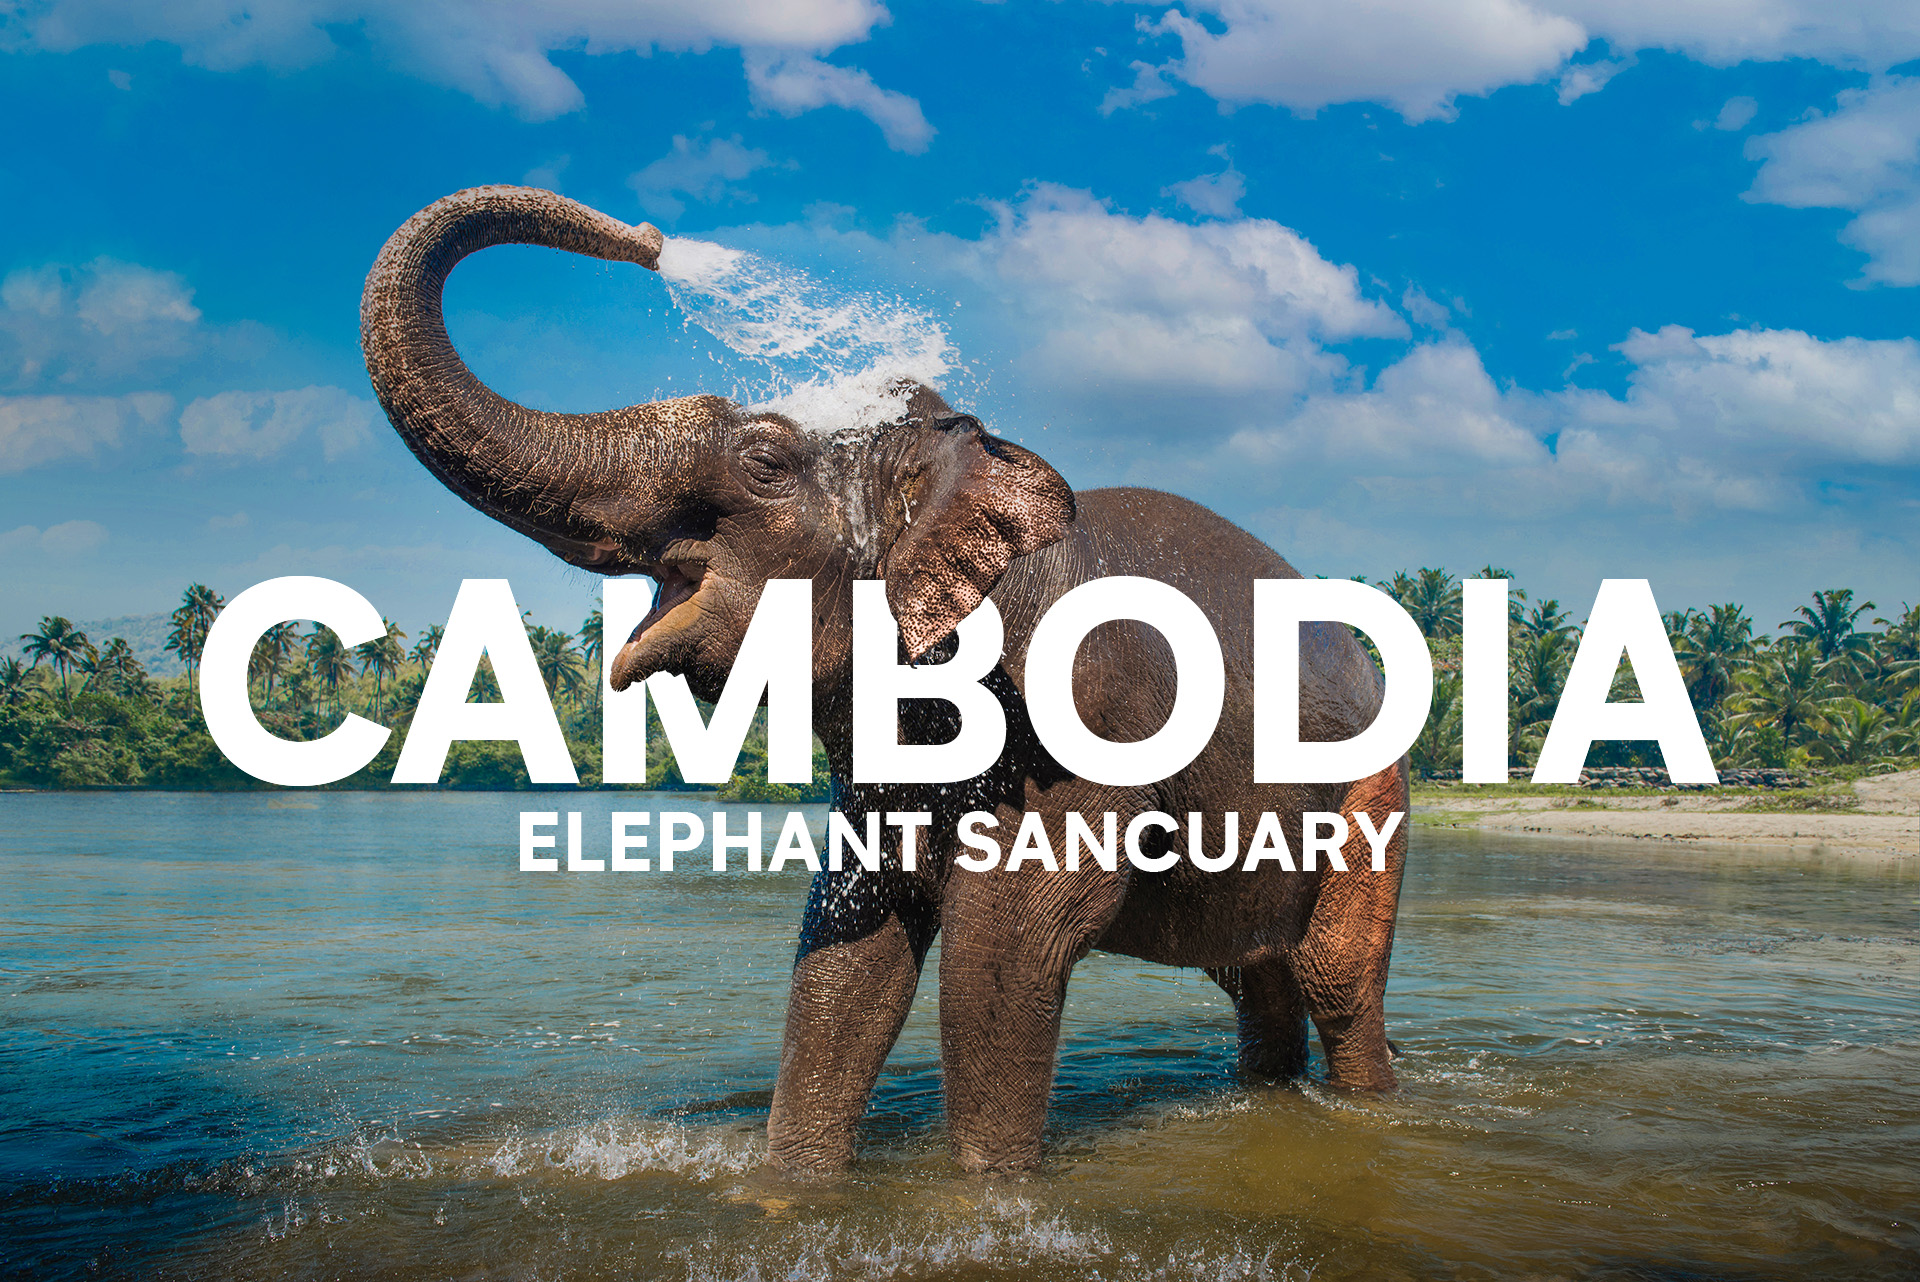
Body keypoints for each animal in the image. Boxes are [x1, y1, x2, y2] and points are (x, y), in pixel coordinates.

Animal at [361, 186, 1408, 1174]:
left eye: (764, 461)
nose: (650, 238)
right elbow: (853, 943)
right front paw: (790, 1187)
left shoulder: (1080, 725)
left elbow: (1007, 944)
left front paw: (988, 1197)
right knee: (1255, 974)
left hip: (1374, 788)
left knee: (1333, 981)